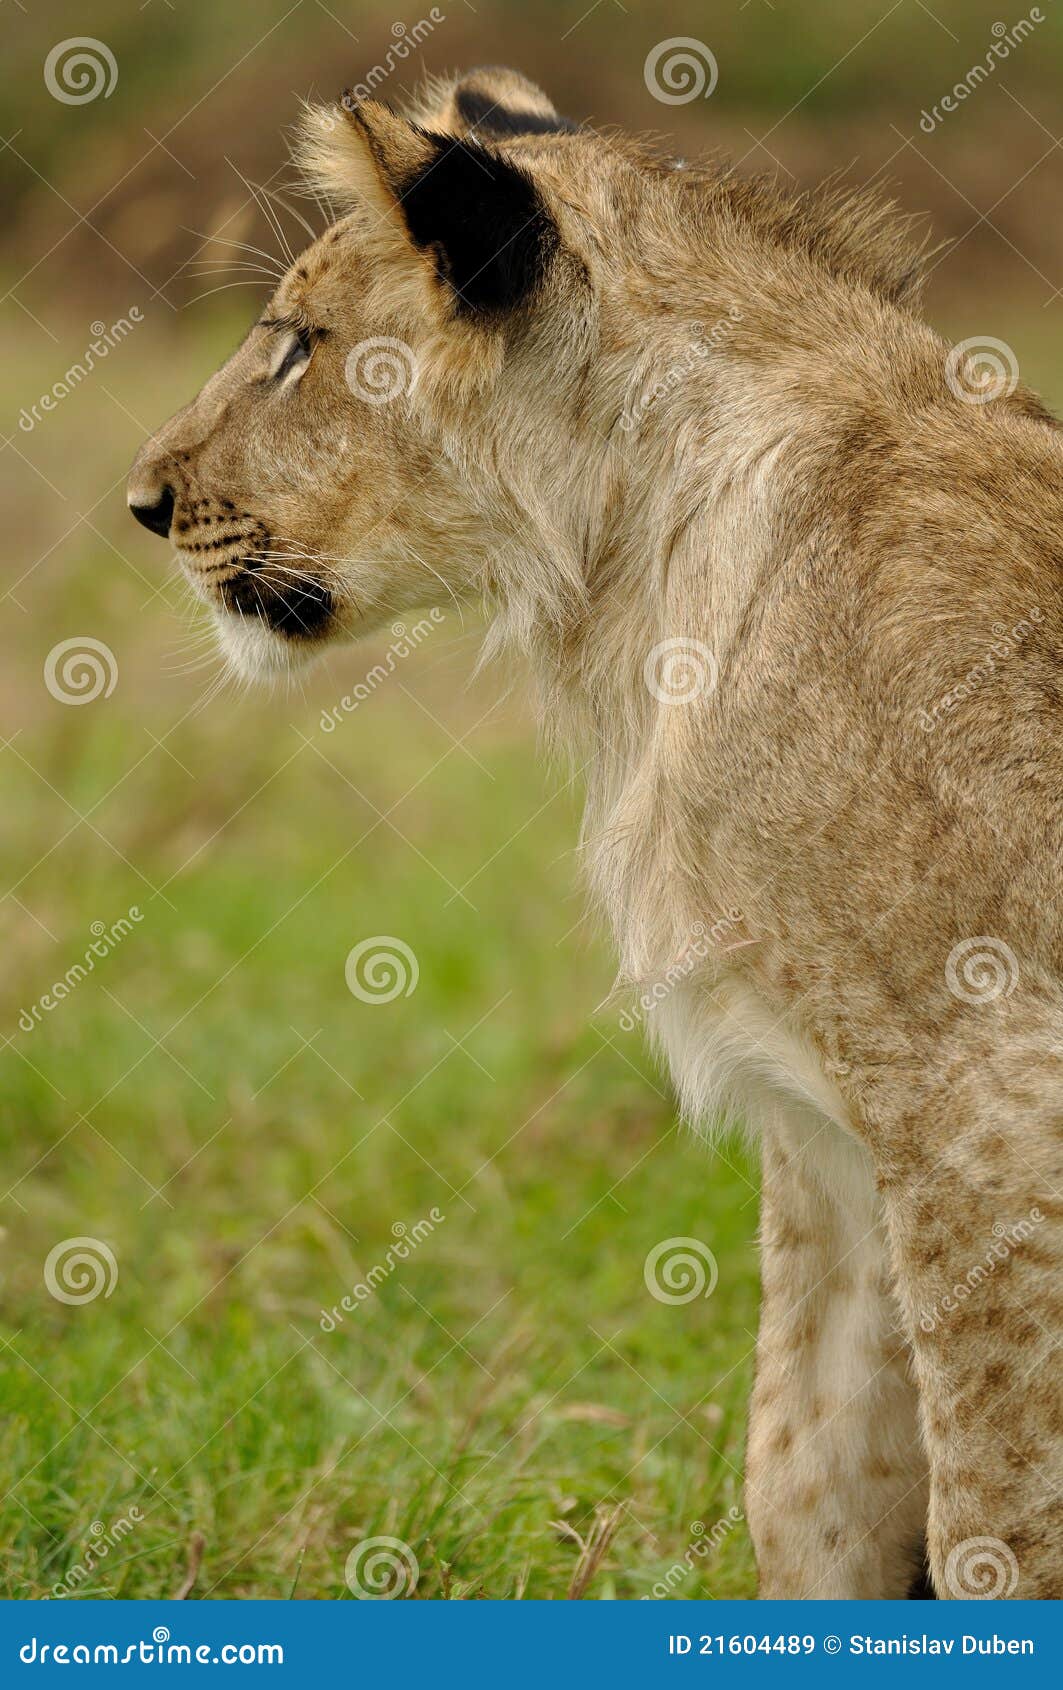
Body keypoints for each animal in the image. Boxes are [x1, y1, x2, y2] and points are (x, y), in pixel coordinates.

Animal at [128, 67, 1063, 1599]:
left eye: (301, 348)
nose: (144, 503)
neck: (646, 560)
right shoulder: (830, 1132)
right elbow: (806, 1470)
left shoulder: (981, 1089)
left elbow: (996, 1518)